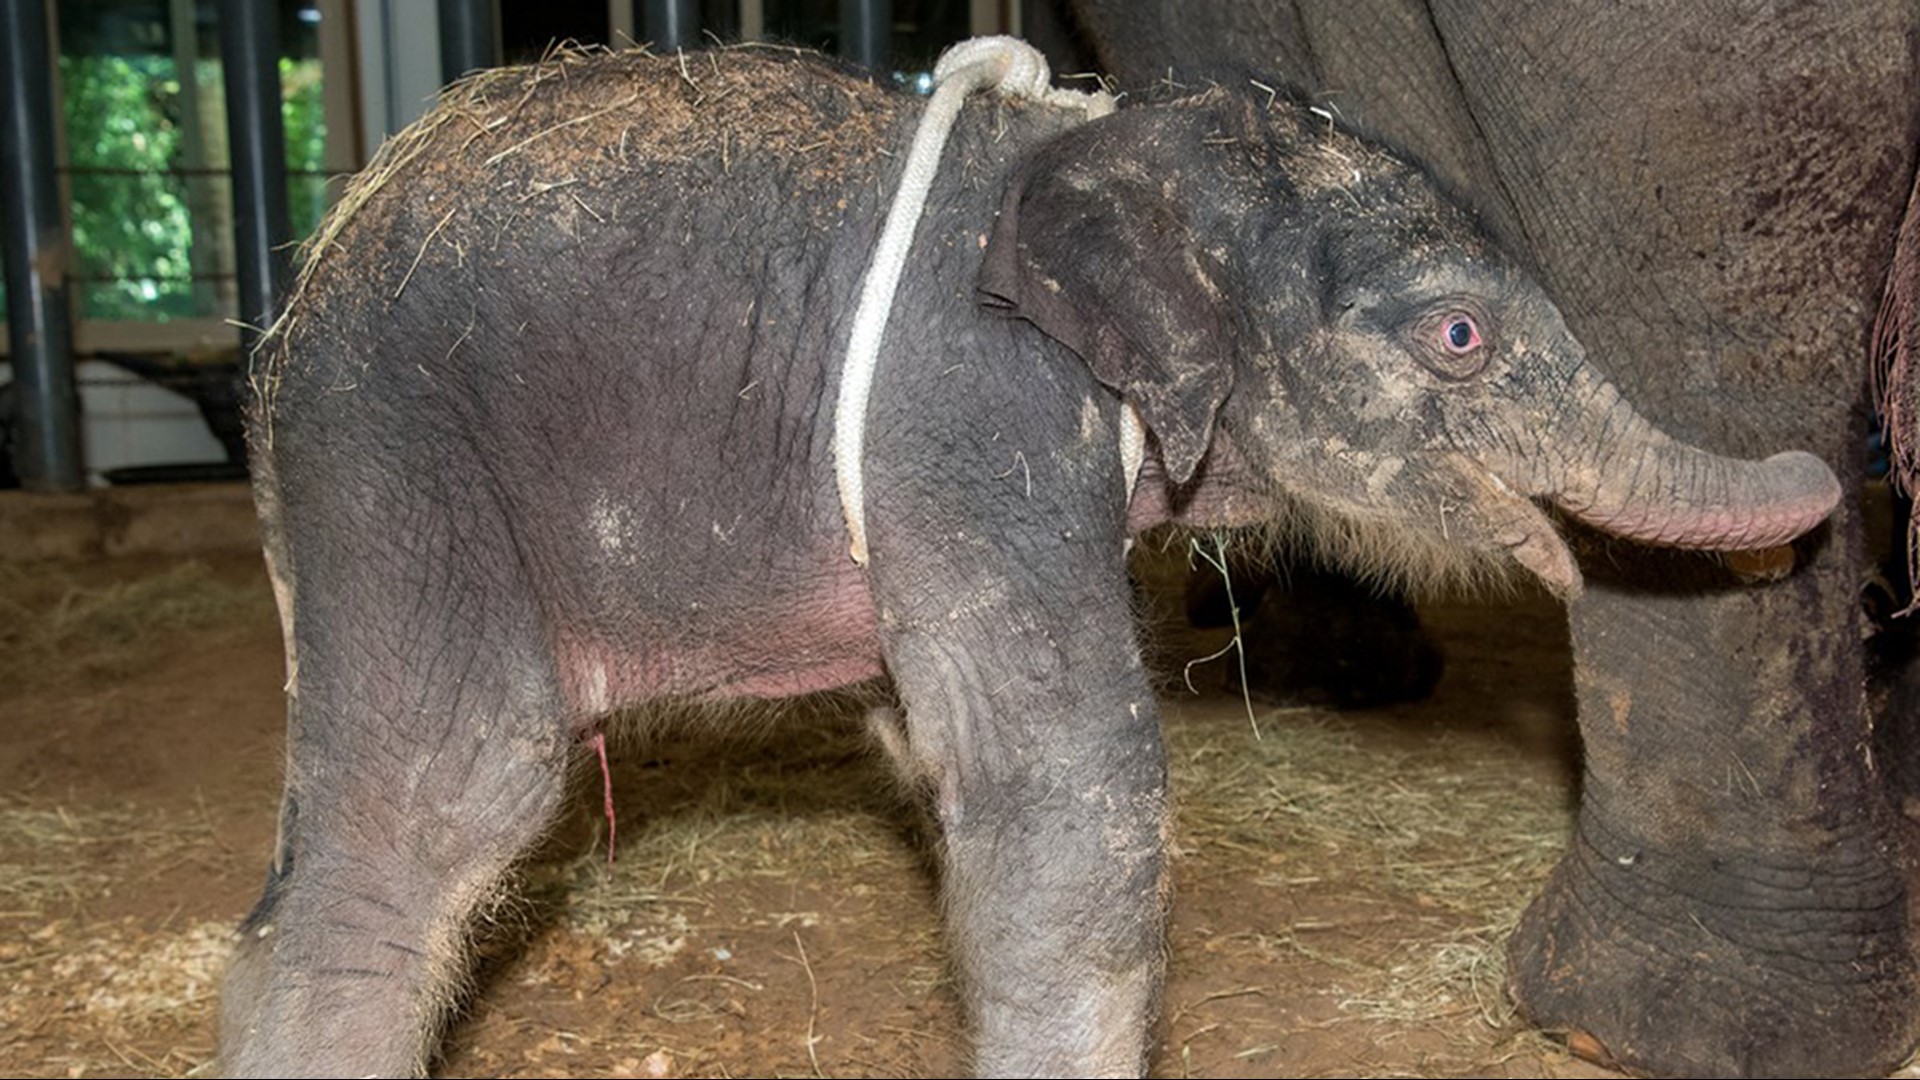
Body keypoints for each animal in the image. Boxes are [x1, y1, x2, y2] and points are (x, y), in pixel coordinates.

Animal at [222, 43, 1842, 1077]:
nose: (1833, 488)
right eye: (1459, 336)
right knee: (442, 803)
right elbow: (1076, 793)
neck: (1100, 134)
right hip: (395, 458)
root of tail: (305, 286)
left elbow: (942, 763)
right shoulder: (971, 408)